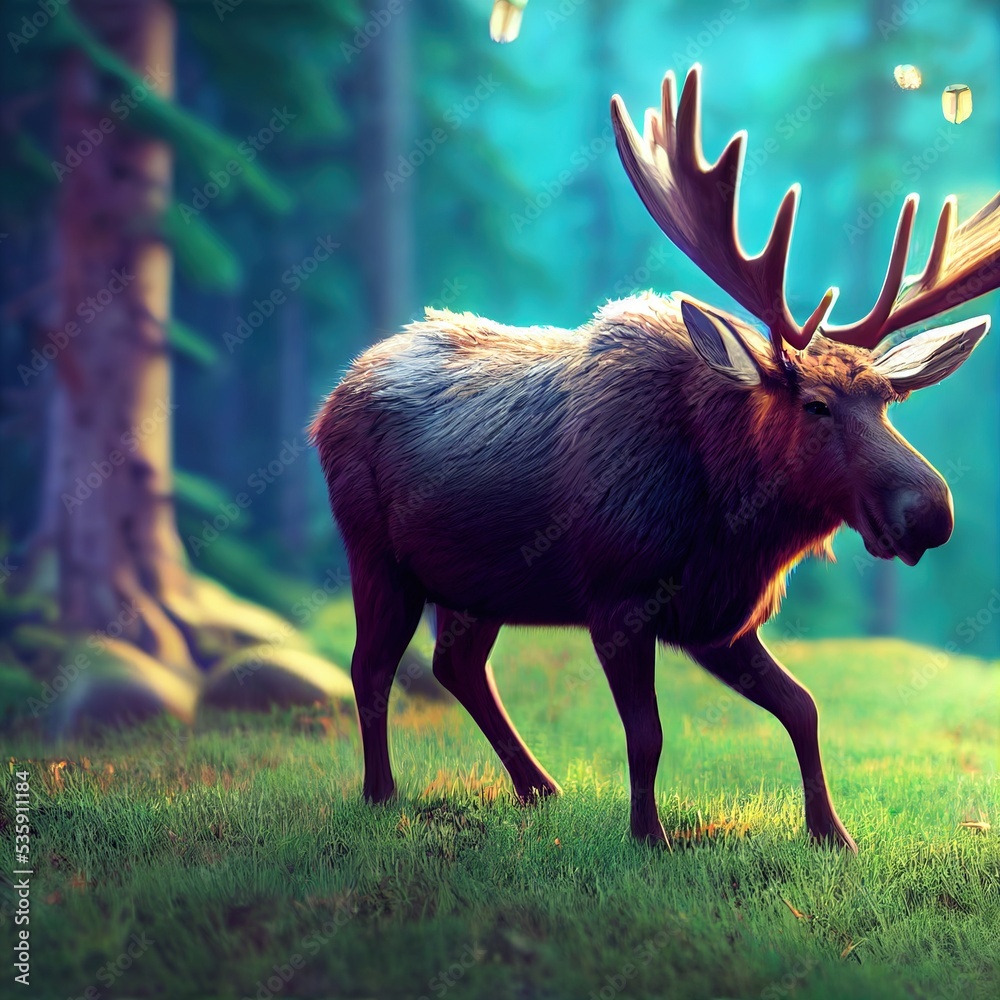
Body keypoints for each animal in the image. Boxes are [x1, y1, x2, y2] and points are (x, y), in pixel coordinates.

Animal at [311, 65, 999, 850]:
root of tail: (326, 405)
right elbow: (648, 734)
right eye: (816, 405)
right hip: (377, 557)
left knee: (456, 664)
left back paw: (538, 787)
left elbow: (803, 706)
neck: (730, 521)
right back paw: (381, 795)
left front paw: (833, 834)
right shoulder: (618, 600)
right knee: (370, 670)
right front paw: (650, 838)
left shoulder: (718, 620)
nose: (931, 513)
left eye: (888, 400)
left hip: (479, 583)